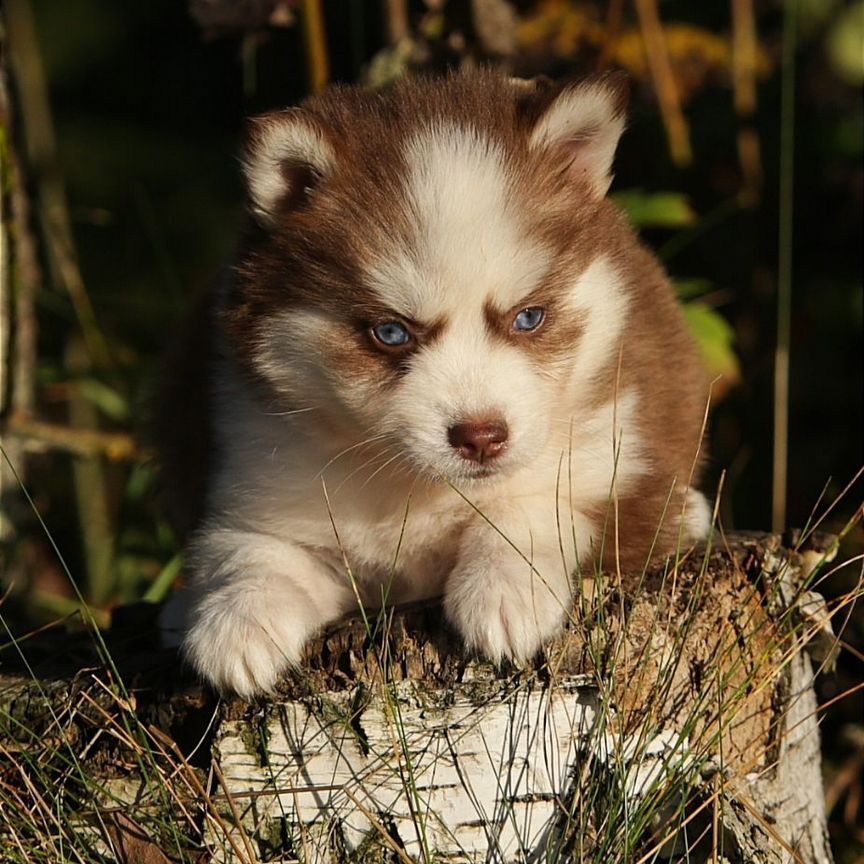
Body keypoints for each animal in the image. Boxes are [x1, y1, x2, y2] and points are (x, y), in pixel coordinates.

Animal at [159, 71, 712, 700]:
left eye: (528, 318)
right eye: (391, 332)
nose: (481, 437)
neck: (418, 487)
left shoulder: (609, 462)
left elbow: (535, 506)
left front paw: (504, 589)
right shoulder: (261, 475)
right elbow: (247, 550)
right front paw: (240, 619)